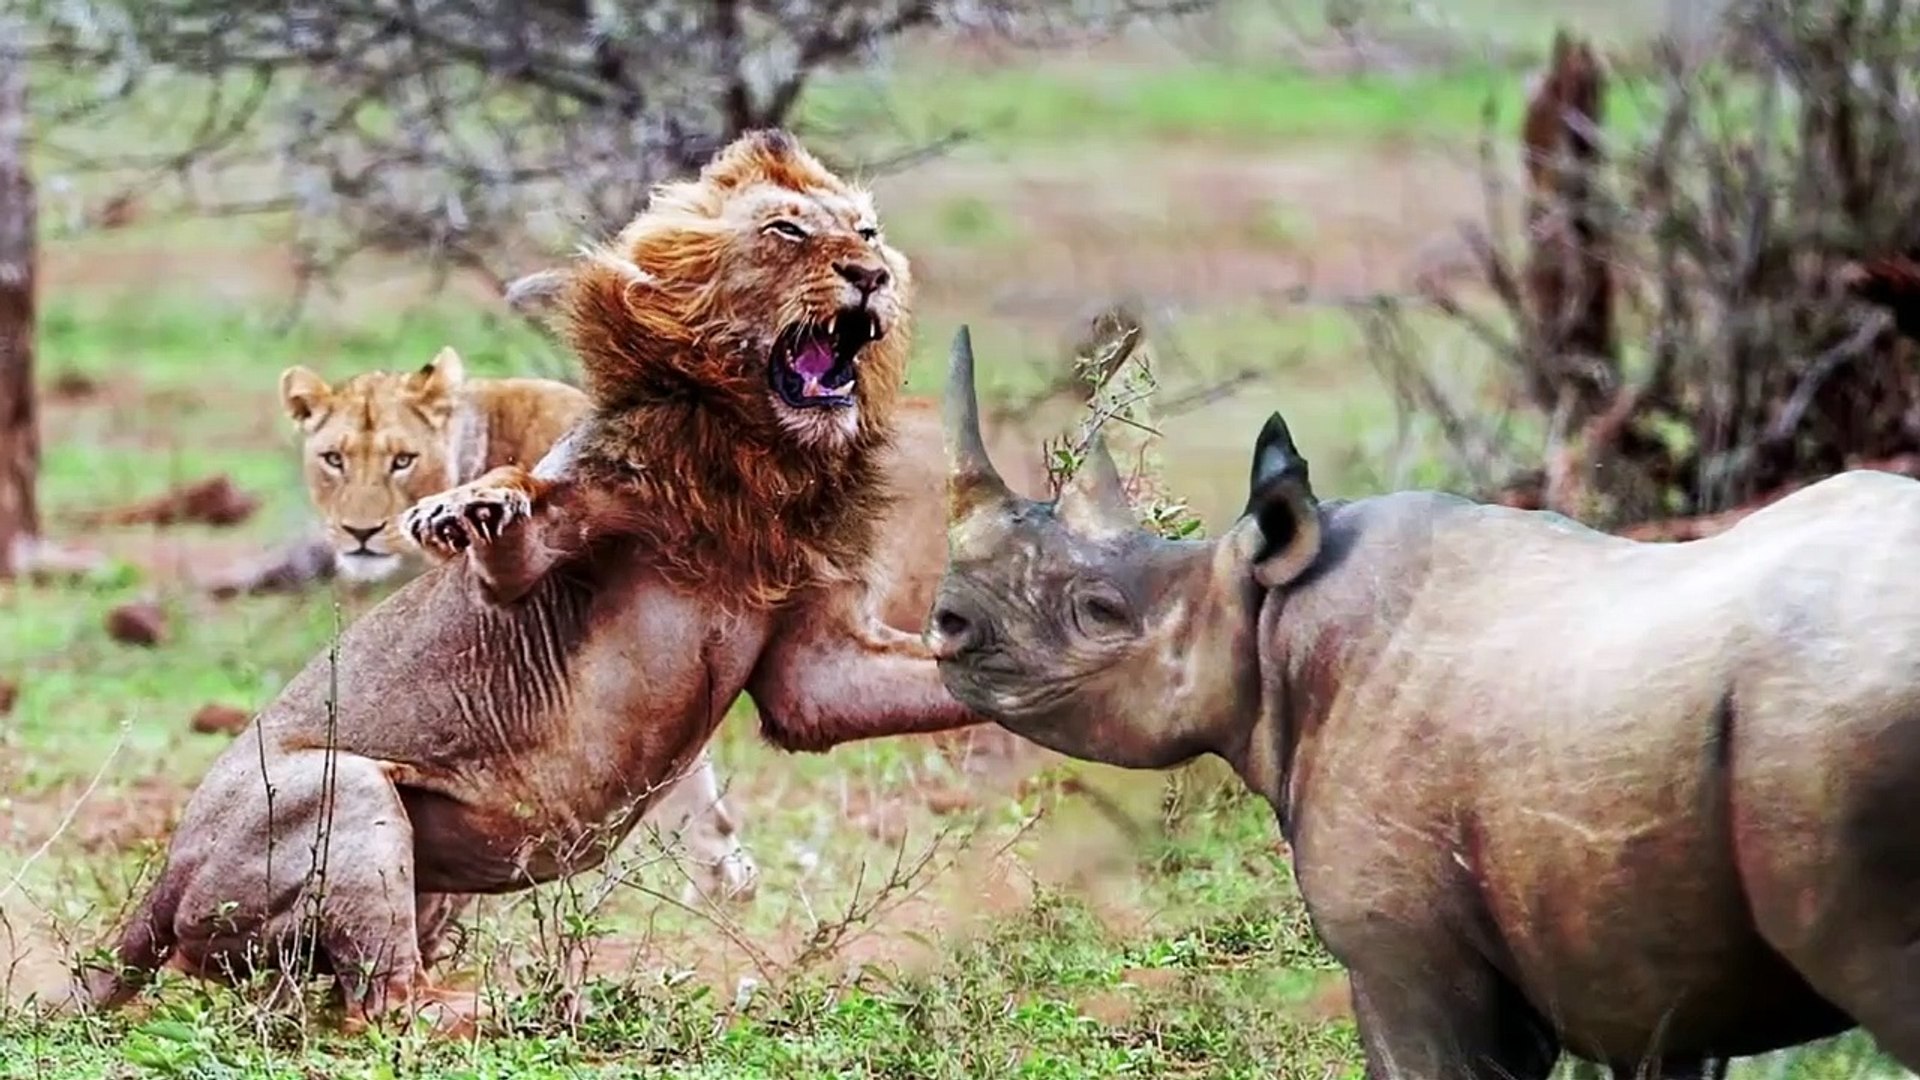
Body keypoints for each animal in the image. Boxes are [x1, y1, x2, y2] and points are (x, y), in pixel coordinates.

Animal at [81, 129, 991, 1035]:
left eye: (867, 233)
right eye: (787, 232)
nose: (869, 276)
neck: (759, 457)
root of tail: (163, 881)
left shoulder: (815, 665)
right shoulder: (555, 537)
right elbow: (515, 527)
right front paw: (470, 507)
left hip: (420, 881)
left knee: (341, 1002)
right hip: (347, 788)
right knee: (387, 1004)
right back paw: (537, 1002)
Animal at [922, 325, 1920, 1079]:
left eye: (1098, 612)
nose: (945, 622)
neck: (1265, 620)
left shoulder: (1406, 951)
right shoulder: (1660, 965)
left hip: (1832, 729)